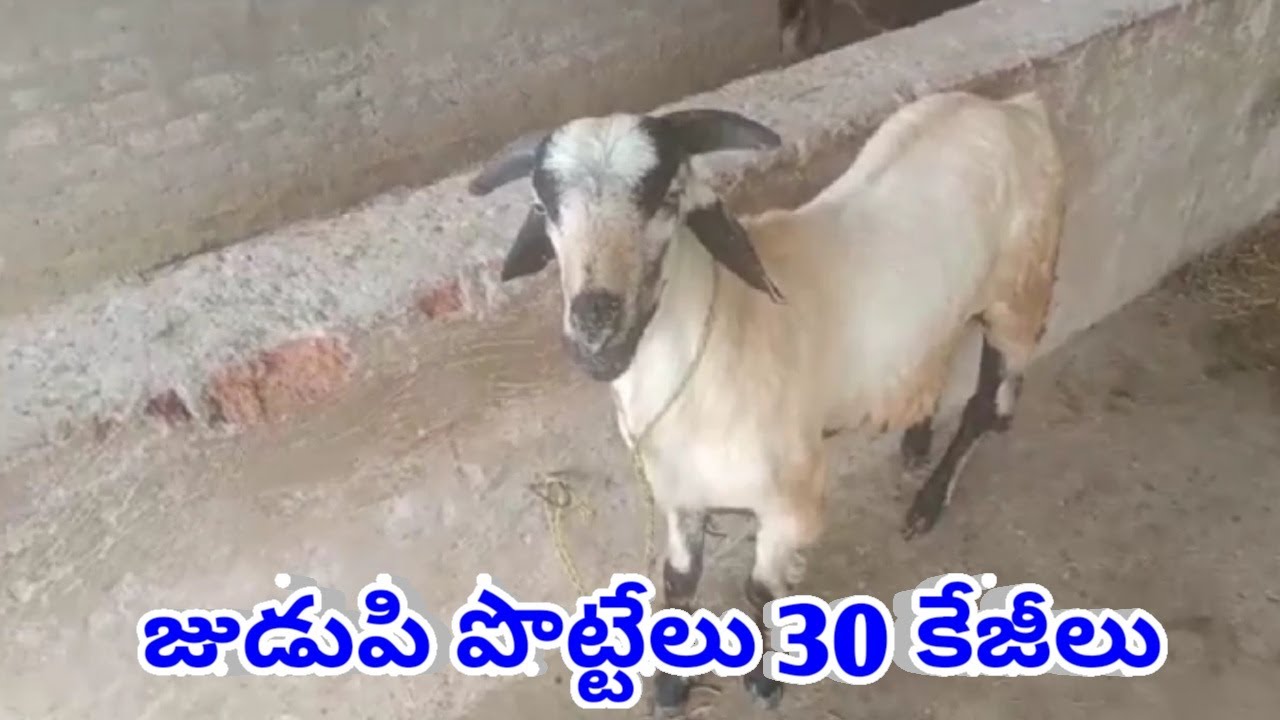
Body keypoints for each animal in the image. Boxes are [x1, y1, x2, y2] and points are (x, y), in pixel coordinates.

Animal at [466, 88, 1065, 714]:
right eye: (543, 207)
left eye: (669, 198)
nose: (594, 321)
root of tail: (1015, 107)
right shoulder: (681, 496)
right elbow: (678, 582)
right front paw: (671, 688)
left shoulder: (790, 506)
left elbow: (760, 589)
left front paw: (764, 680)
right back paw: (915, 440)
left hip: (1018, 298)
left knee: (988, 408)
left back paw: (927, 503)